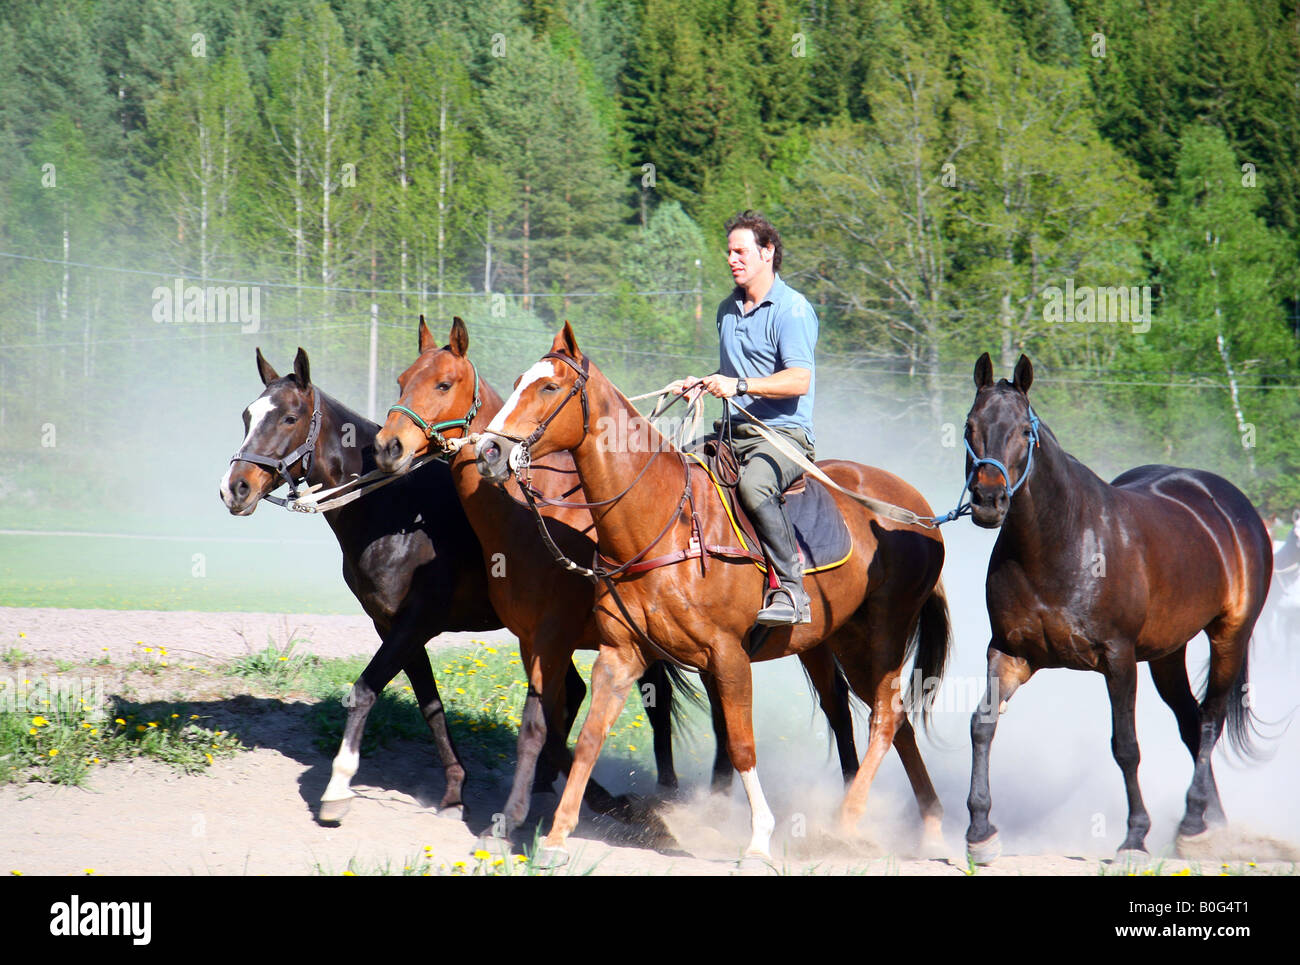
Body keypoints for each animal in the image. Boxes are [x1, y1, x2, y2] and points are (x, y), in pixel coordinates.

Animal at [219, 347, 502, 822]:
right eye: (247, 415)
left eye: (290, 418)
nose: (234, 488)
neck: (398, 511)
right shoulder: (392, 625)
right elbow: (431, 705)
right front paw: (454, 790)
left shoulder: (417, 622)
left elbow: (363, 692)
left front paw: (337, 786)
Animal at [371, 316, 865, 844]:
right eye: (402, 380)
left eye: (443, 384)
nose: (387, 446)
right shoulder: (540, 640)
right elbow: (557, 721)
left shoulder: (555, 636)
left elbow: (540, 725)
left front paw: (520, 816)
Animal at [474, 322, 952, 867]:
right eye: (517, 382)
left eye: (550, 387)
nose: (489, 451)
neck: (663, 522)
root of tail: (918, 511)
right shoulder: (621, 654)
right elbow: (592, 734)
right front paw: (556, 837)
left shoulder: (727, 656)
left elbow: (742, 745)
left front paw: (759, 838)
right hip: (843, 640)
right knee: (896, 718)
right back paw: (929, 829)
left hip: (884, 632)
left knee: (887, 716)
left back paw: (845, 820)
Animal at [960, 352, 1271, 865]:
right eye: (970, 426)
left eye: (1024, 430)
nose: (989, 500)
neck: (1060, 541)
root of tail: (1229, 505)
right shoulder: (1008, 652)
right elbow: (982, 726)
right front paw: (981, 833)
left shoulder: (1118, 659)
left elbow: (1125, 746)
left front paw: (1134, 837)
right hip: (1168, 653)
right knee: (1191, 723)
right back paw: (1212, 822)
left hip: (1230, 634)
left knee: (1209, 722)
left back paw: (1192, 822)